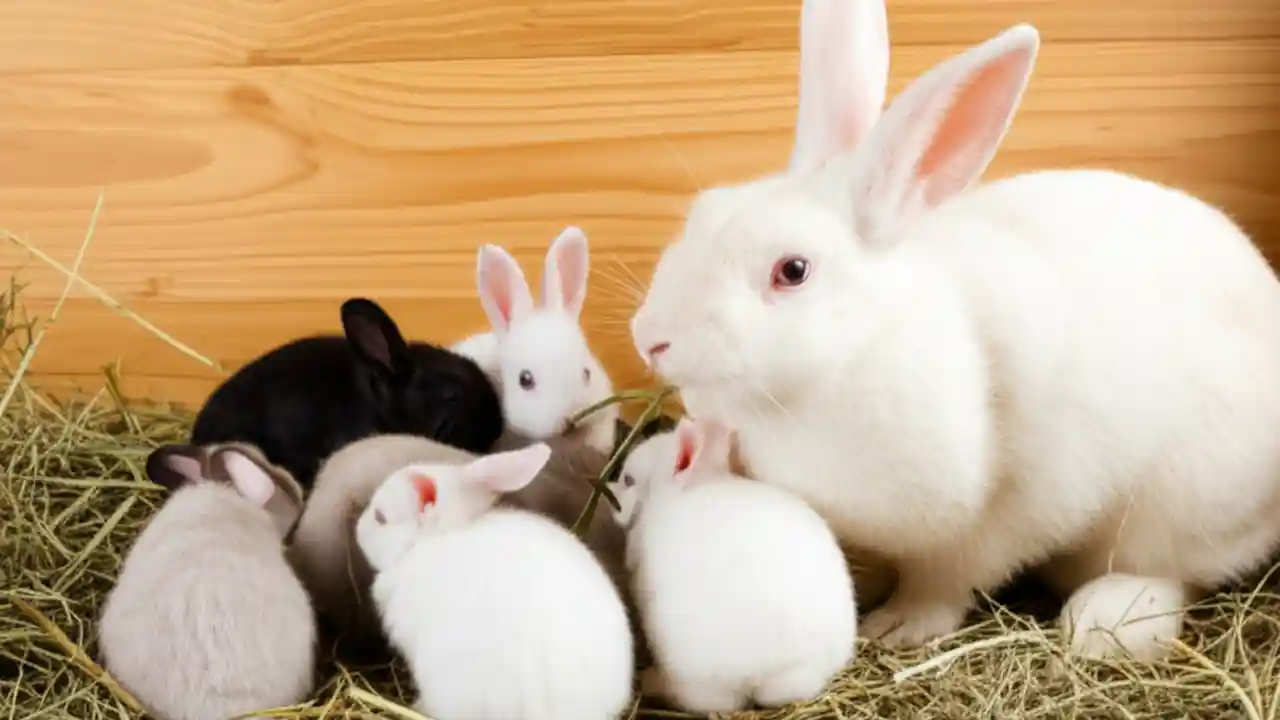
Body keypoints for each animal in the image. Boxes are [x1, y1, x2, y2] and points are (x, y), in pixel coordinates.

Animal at [627, 0, 1280, 663]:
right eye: (702, 212)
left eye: (793, 271)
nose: (649, 337)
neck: (847, 363)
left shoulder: (1006, 514)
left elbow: (947, 577)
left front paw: (897, 625)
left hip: (1178, 504)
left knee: (1175, 569)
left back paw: (1107, 616)